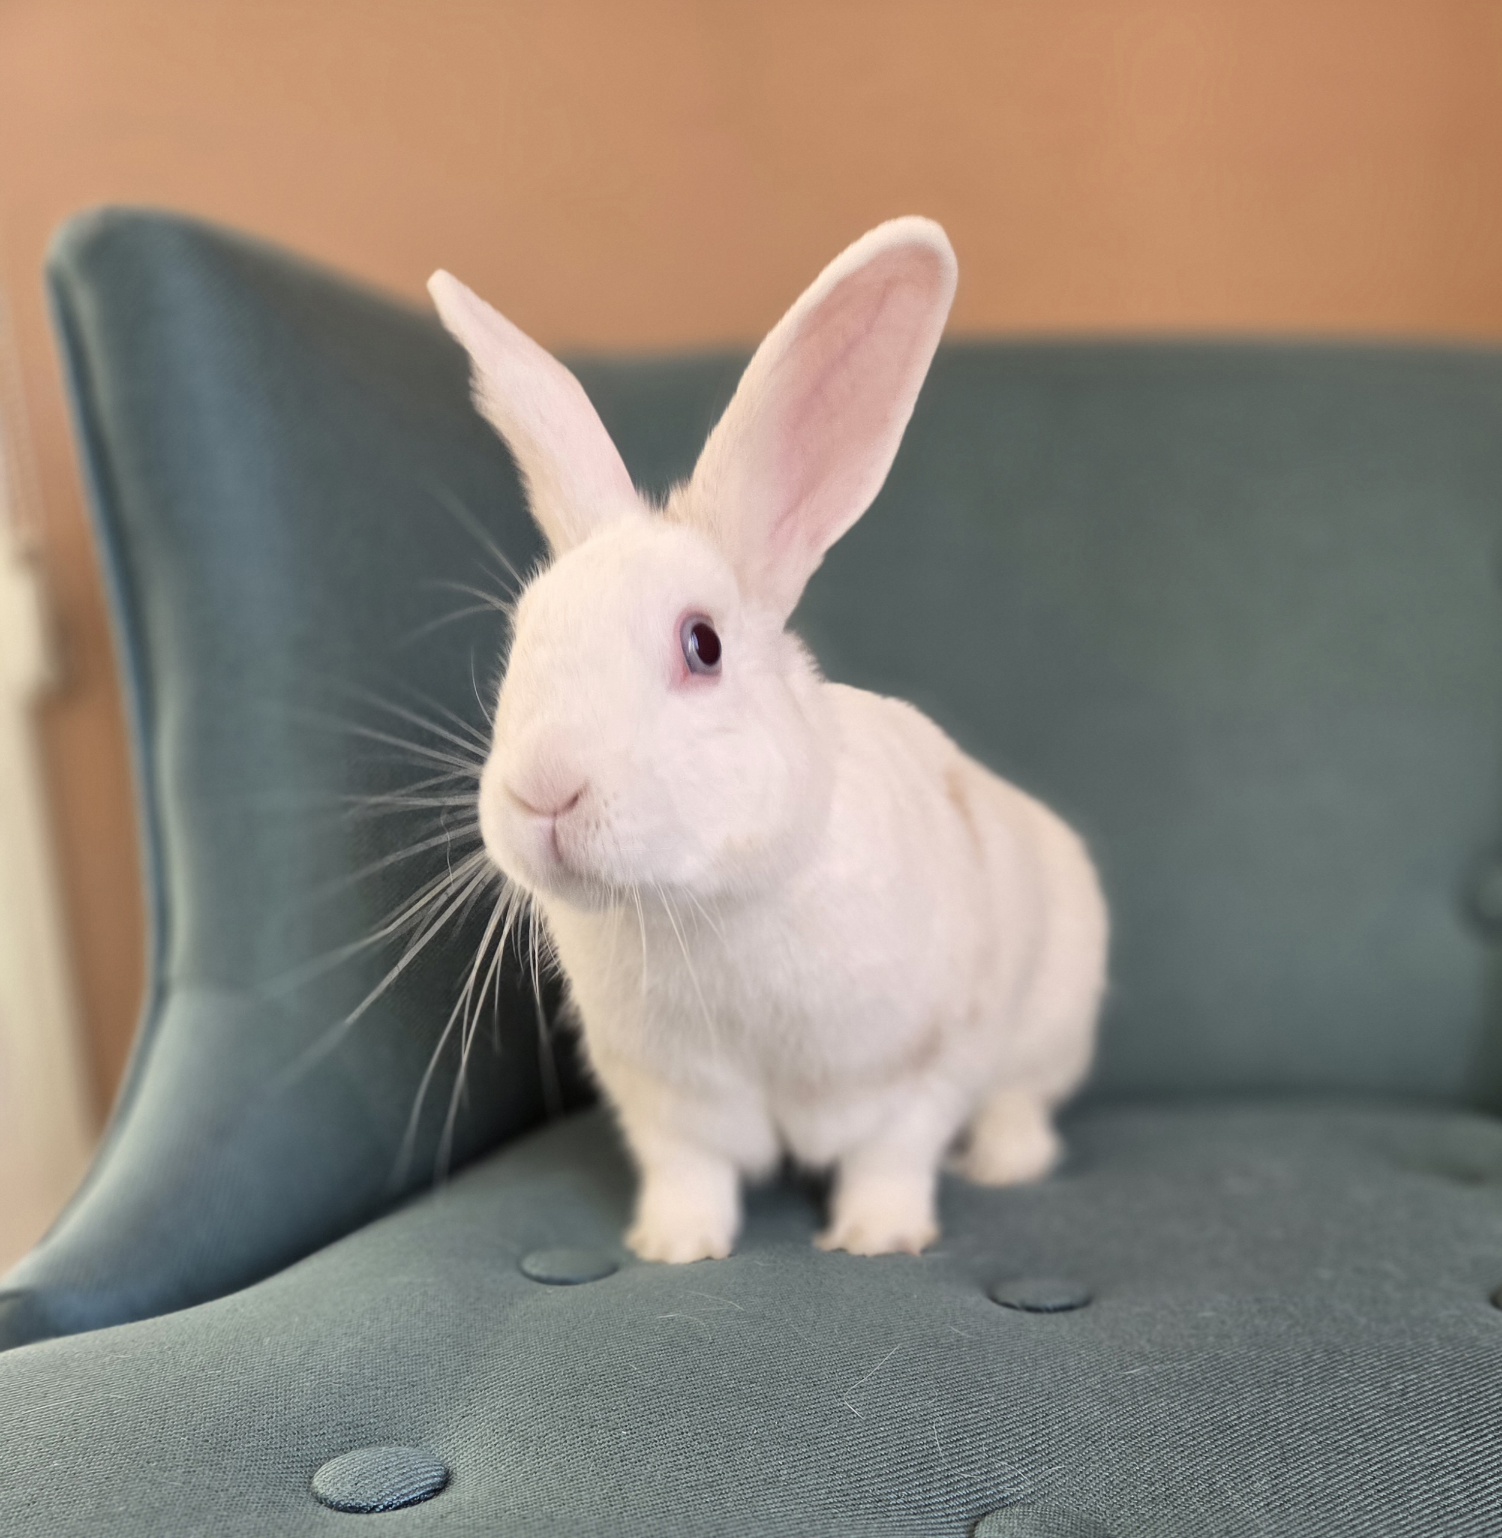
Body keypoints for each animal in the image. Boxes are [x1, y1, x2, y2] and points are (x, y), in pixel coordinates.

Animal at [428, 216, 1108, 1264]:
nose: (543, 793)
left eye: (703, 644)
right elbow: (689, 1172)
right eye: (522, 634)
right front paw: (672, 1248)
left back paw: (1005, 1166)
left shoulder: (924, 1067)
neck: (710, 910)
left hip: (1050, 1023)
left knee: (1020, 1103)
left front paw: (877, 1238)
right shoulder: (665, 1098)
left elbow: (894, 1154)